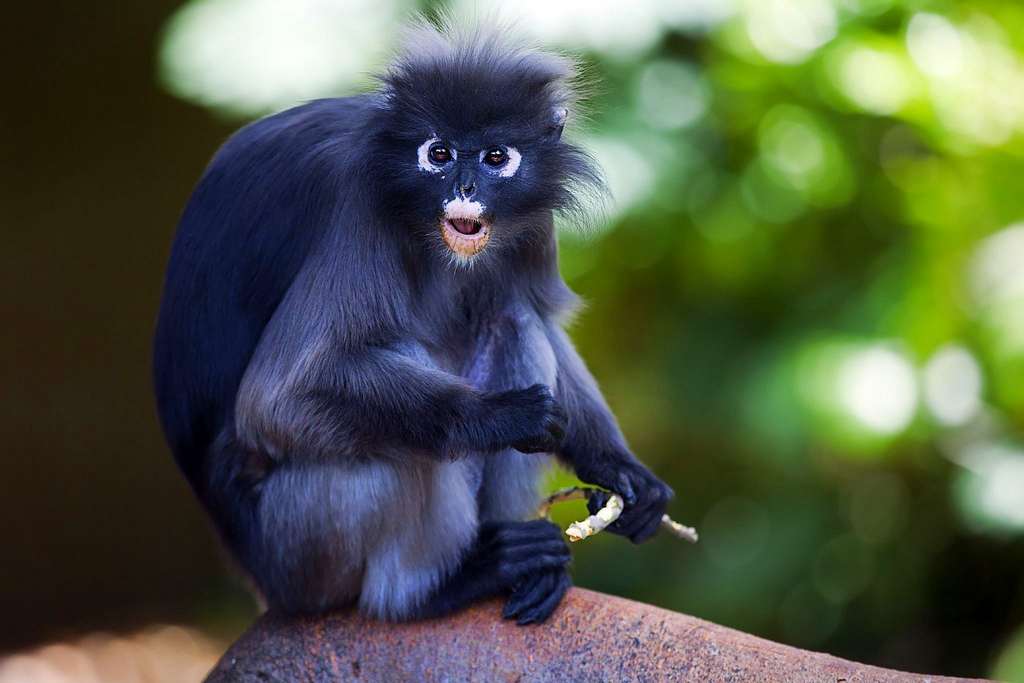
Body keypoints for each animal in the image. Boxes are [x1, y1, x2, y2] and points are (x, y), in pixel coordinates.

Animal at [152, 18, 673, 626]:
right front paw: (498, 416)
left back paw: (521, 564)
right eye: (439, 153)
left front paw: (619, 470)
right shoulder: (361, 205)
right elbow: (278, 395)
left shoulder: (532, 221)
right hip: (299, 547)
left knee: (512, 319)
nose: (465, 189)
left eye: (496, 156)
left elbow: (541, 320)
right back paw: (435, 588)